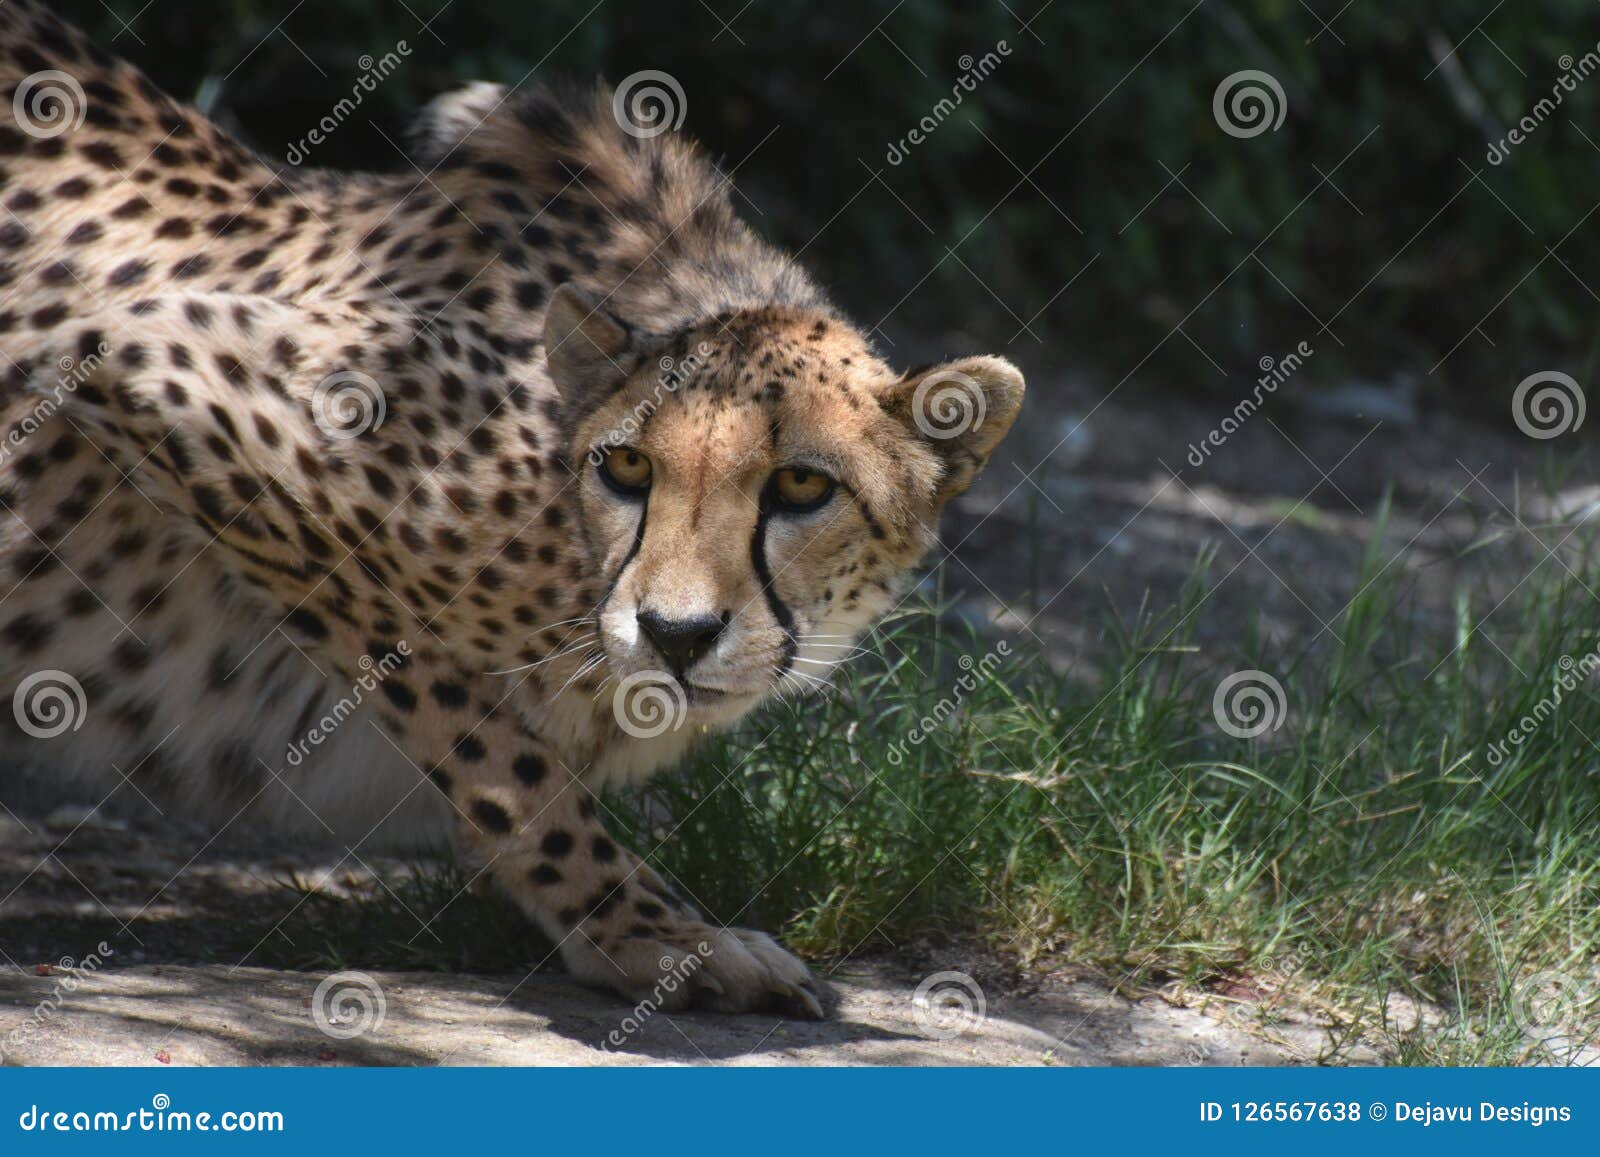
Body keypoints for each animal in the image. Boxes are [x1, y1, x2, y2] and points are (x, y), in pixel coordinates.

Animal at [0, 1, 1024, 1018]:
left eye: (804, 486)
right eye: (628, 466)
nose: (676, 634)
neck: (563, 541)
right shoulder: (151, 360)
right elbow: (493, 747)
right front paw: (647, 933)